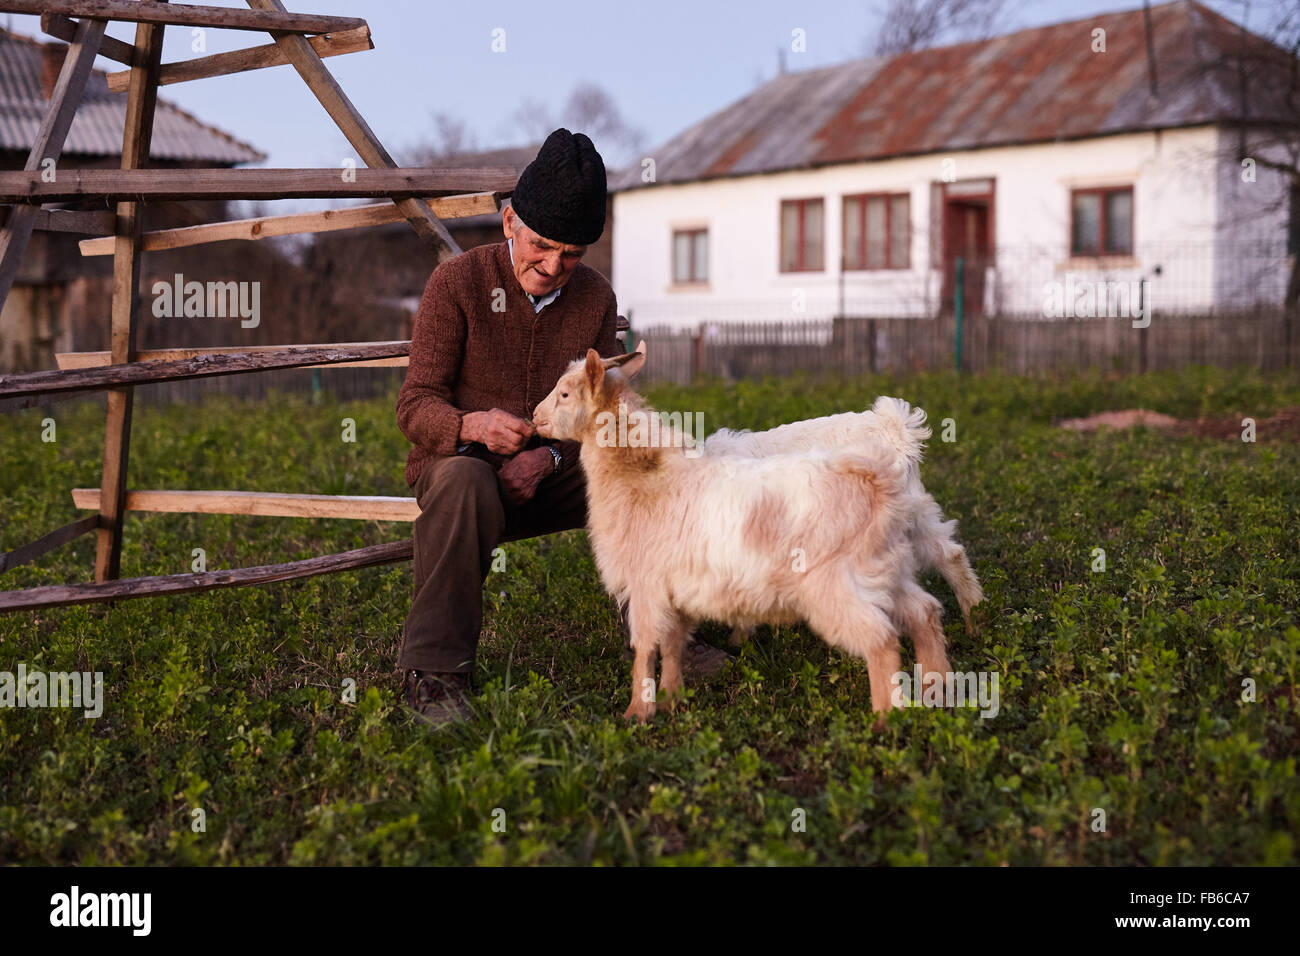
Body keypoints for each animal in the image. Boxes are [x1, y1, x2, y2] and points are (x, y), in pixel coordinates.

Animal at [533, 343, 939, 724]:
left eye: (565, 394)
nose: (534, 417)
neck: (644, 474)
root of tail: (877, 483)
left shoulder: (645, 585)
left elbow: (647, 647)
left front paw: (638, 713)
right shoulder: (673, 590)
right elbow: (673, 645)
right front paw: (671, 699)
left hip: (837, 585)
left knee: (881, 639)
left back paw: (885, 719)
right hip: (886, 570)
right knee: (925, 612)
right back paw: (935, 691)